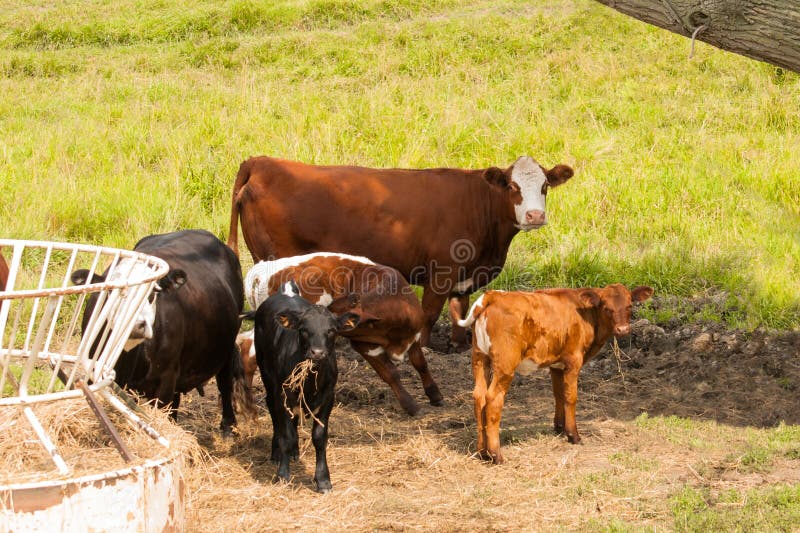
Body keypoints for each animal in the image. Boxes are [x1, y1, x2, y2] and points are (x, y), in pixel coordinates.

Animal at [70, 229, 251, 435]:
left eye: (152, 293)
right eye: (113, 292)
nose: (136, 325)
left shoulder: (165, 378)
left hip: (226, 347)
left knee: (224, 382)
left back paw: (228, 424)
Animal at [227, 156, 574, 351]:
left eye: (544, 186)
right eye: (513, 187)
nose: (535, 216)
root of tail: (262, 162)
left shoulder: (463, 276)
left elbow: (459, 310)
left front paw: (458, 345)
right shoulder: (441, 272)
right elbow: (429, 313)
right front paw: (425, 346)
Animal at [244, 252, 442, 415]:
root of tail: (261, 269)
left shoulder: (414, 336)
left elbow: (420, 364)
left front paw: (435, 394)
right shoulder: (364, 344)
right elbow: (390, 373)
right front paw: (412, 406)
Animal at [254, 289, 360, 493]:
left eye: (331, 330)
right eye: (303, 330)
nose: (317, 352)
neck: (311, 382)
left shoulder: (328, 398)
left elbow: (319, 438)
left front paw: (323, 480)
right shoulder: (283, 395)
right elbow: (286, 436)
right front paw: (283, 475)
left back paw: (295, 452)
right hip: (267, 375)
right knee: (275, 416)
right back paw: (276, 452)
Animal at [458, 284, 653, 463]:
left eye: (629, 305)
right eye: (606, 307)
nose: (623, 329)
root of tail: (492, 296)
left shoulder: (557, 364)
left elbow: (559, 394)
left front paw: (560, 427)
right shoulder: (573, 360)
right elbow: (570, 397)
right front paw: (573, 435)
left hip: (479, 359)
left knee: (479, 397)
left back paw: (482, 452)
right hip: (505, 365)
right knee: (493, 400)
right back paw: (496, 455)